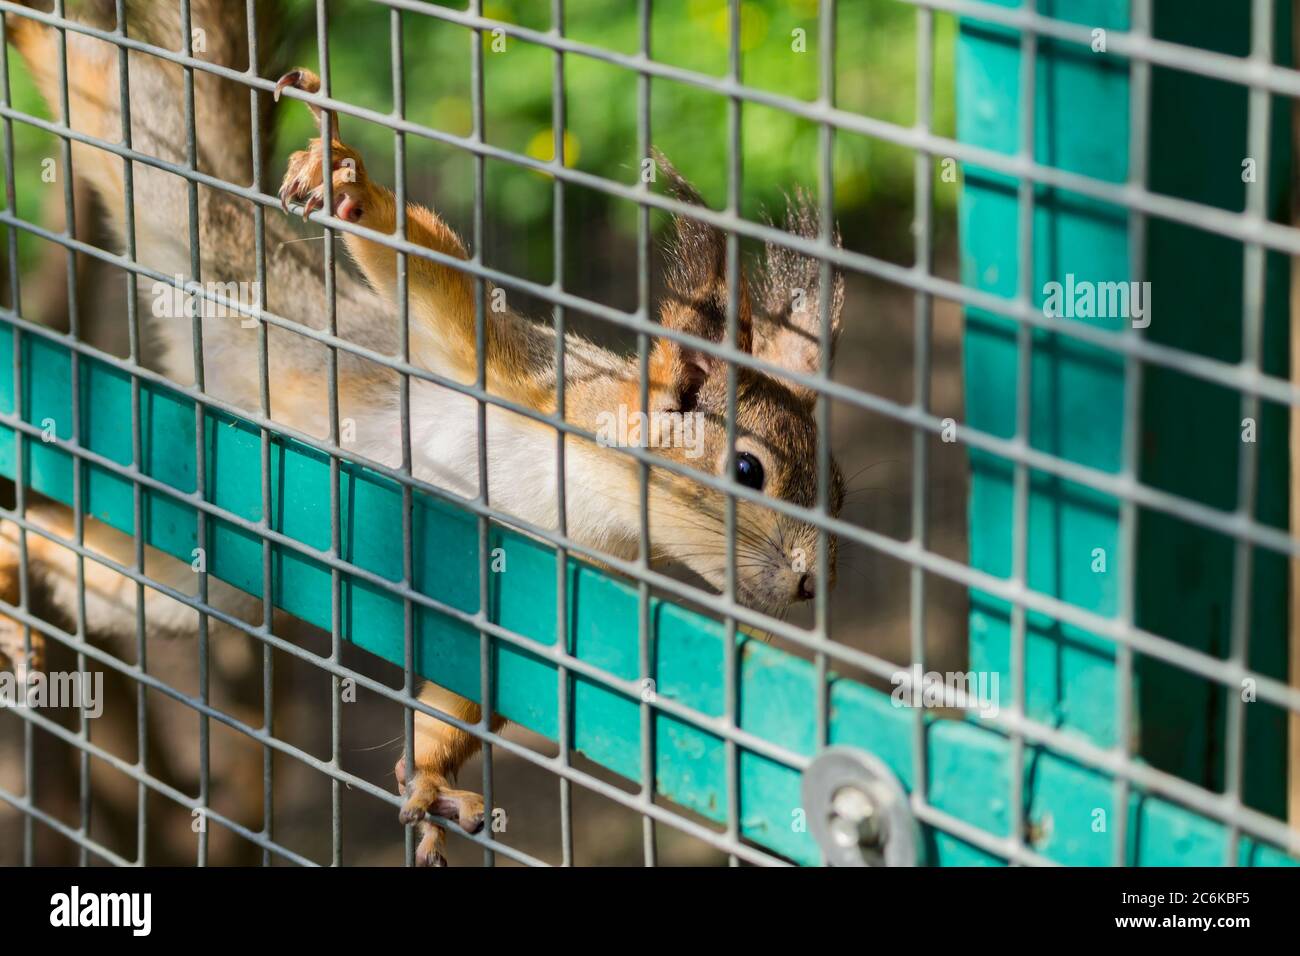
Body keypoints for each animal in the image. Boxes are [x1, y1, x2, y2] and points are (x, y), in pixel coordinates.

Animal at [0, 0, 845, 866]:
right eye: (748, 470)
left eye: (839, 491)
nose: (815, 583)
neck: (593, 500)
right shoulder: (515, 375)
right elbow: (434, 282)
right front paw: (350, 183)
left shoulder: (538, 587)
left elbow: (474, 690)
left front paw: (431, 778)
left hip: (200, 569)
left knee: (93, 563)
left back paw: (15, 562)